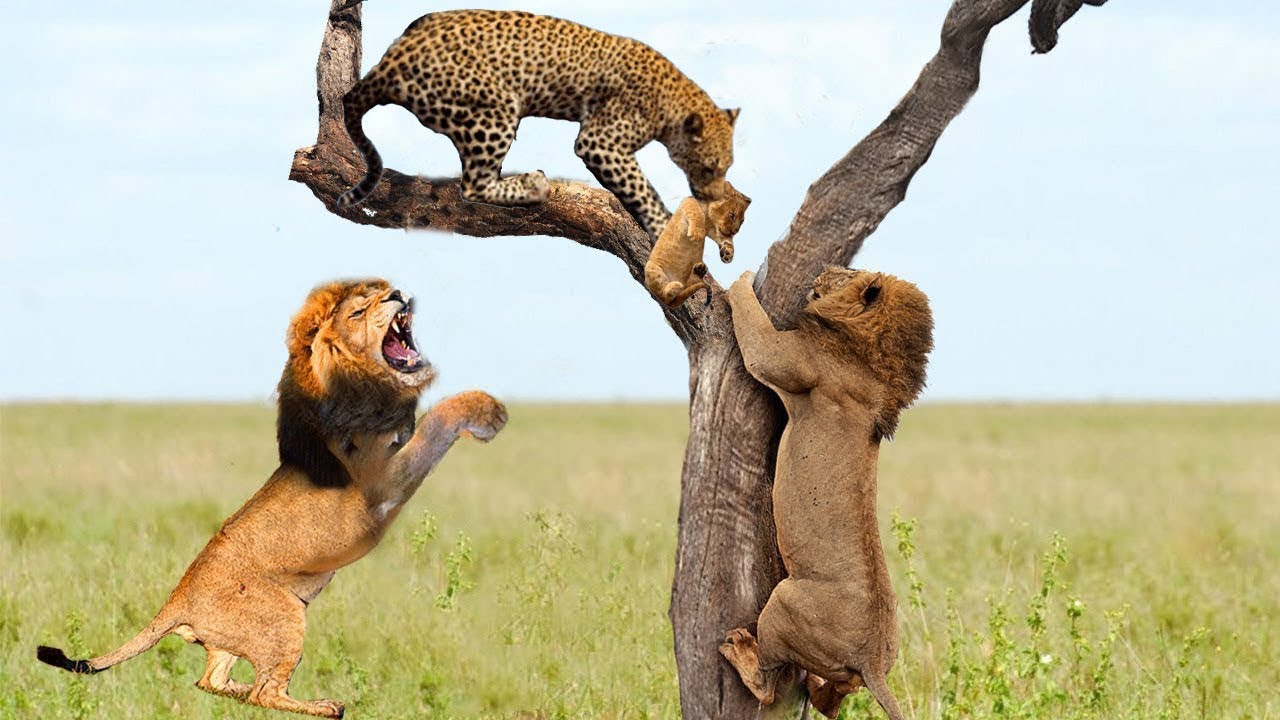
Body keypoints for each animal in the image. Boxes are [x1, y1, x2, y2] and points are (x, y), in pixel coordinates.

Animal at [36, 279, 508, 719]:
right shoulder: (381, 480)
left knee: (210, 680)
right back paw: (325, 705)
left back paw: (240, 686)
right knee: (265, 693)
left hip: (236, 638)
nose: (395, 294)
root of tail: (177, 600)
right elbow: (437, 421)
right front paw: (488, 412)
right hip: (286, 615)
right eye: (358, 312)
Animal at [720, 268, 933, 720]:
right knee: (832, 700)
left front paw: (739, 279)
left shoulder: (784, 358)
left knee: (767, 687)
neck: (869, 358)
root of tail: (872, 662)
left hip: (783, 602)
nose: (823, 270)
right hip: (852, 670)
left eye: (848, 272)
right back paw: (816, 687)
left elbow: (752, 323)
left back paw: (740, 650)